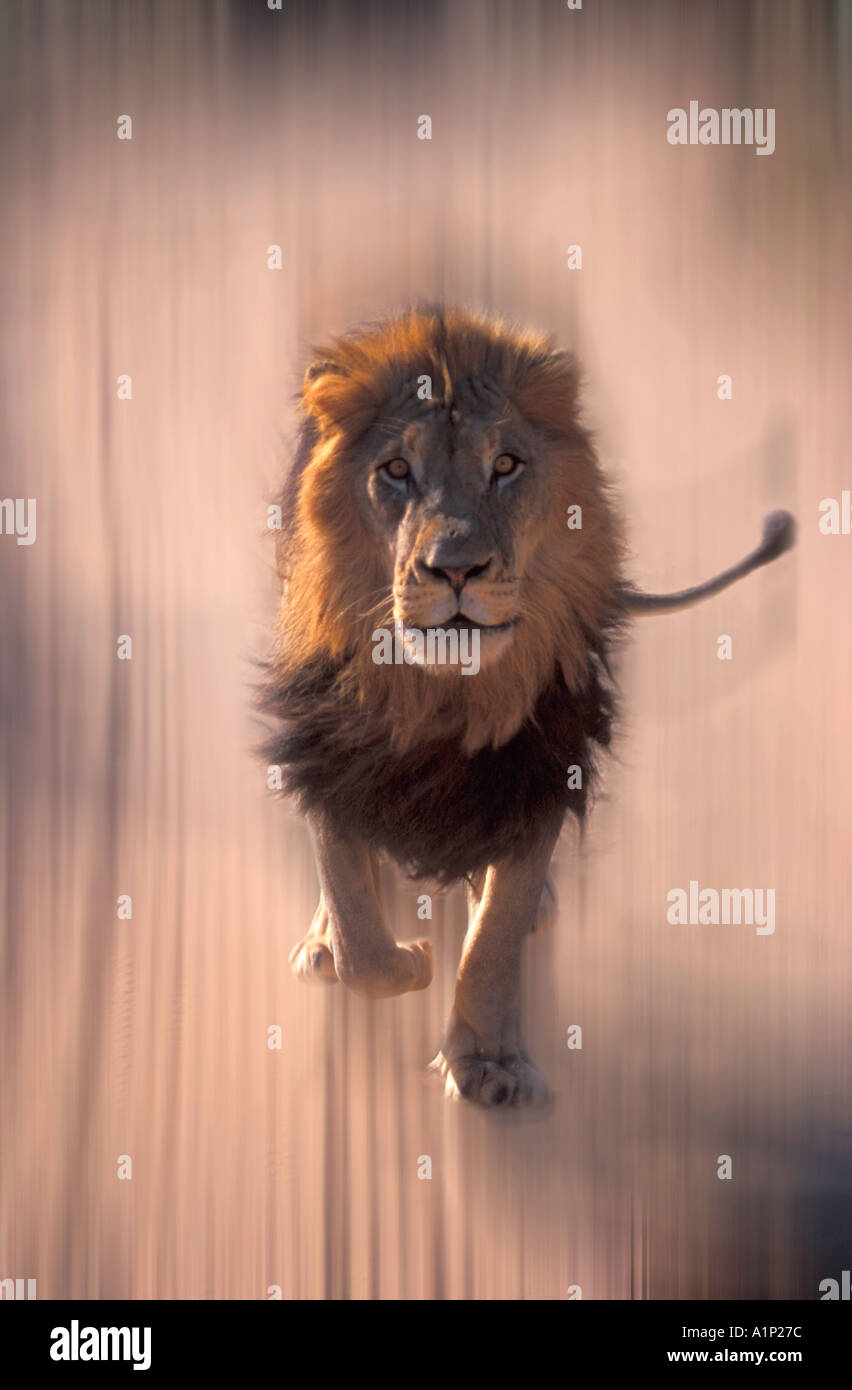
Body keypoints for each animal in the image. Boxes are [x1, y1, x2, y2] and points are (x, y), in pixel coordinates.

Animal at [262, 306, 795, 1108]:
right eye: (396, 471)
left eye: (506, 466)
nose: (455, 569)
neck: (446, 696)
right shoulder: (326, 741)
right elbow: (359, 926)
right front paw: (408, 960)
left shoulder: (544, 769)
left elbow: (493, 937)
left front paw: (490, 1064)